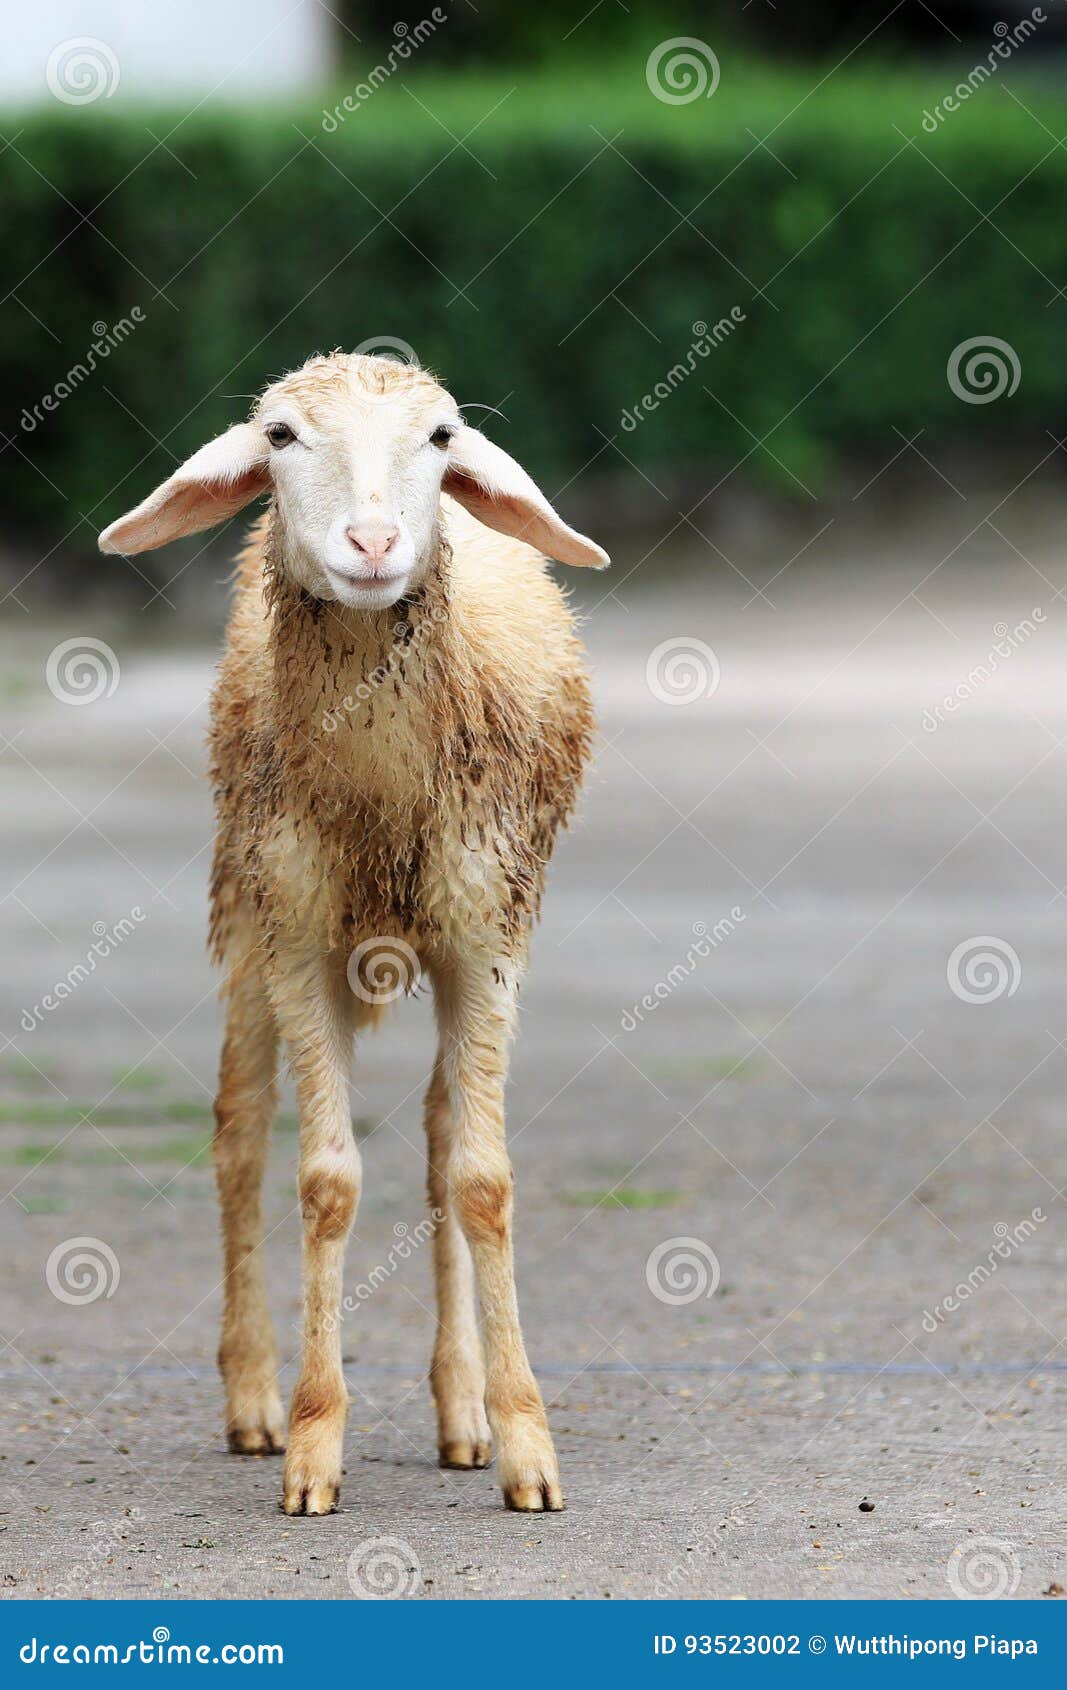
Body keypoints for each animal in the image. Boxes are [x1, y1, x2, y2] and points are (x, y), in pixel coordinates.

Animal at [98, 350, 608, 1516]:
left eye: (442, 438)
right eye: (280, 436)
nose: (372, 545)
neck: (380, 800)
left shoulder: (486, 931)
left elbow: (479, 1178)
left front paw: (525, 1447)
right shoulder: (295, 932)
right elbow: (323, 1183)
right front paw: (312, 1446)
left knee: (437, 1130)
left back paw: (460, 1408)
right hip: (244, 897)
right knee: (239, 1126)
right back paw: (251, 1395)